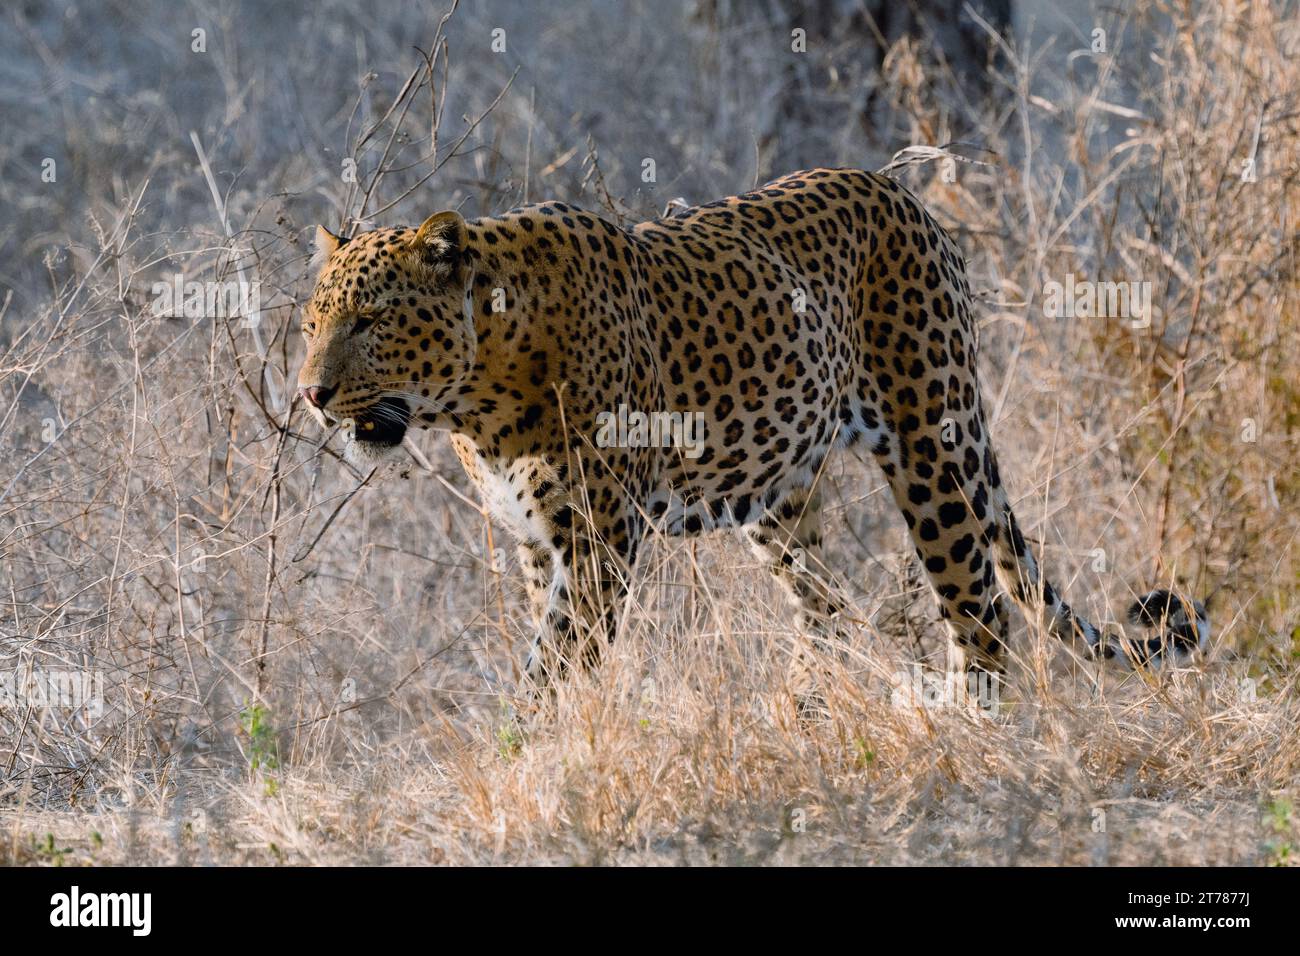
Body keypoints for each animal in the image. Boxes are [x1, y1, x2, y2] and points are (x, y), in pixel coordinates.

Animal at [297, 167, 1209, 704]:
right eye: (311, 323)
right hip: (782, 500)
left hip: (936, 449)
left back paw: (969, 735)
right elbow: (555, 646)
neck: (478, 397)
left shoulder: (598, 536)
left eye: (370, 321)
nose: (311, 394)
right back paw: (804, 713)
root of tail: (906, 195)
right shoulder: (535, 539)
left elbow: (557, 658)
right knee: (829, 610)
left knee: (982, 612)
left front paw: (533, 747)